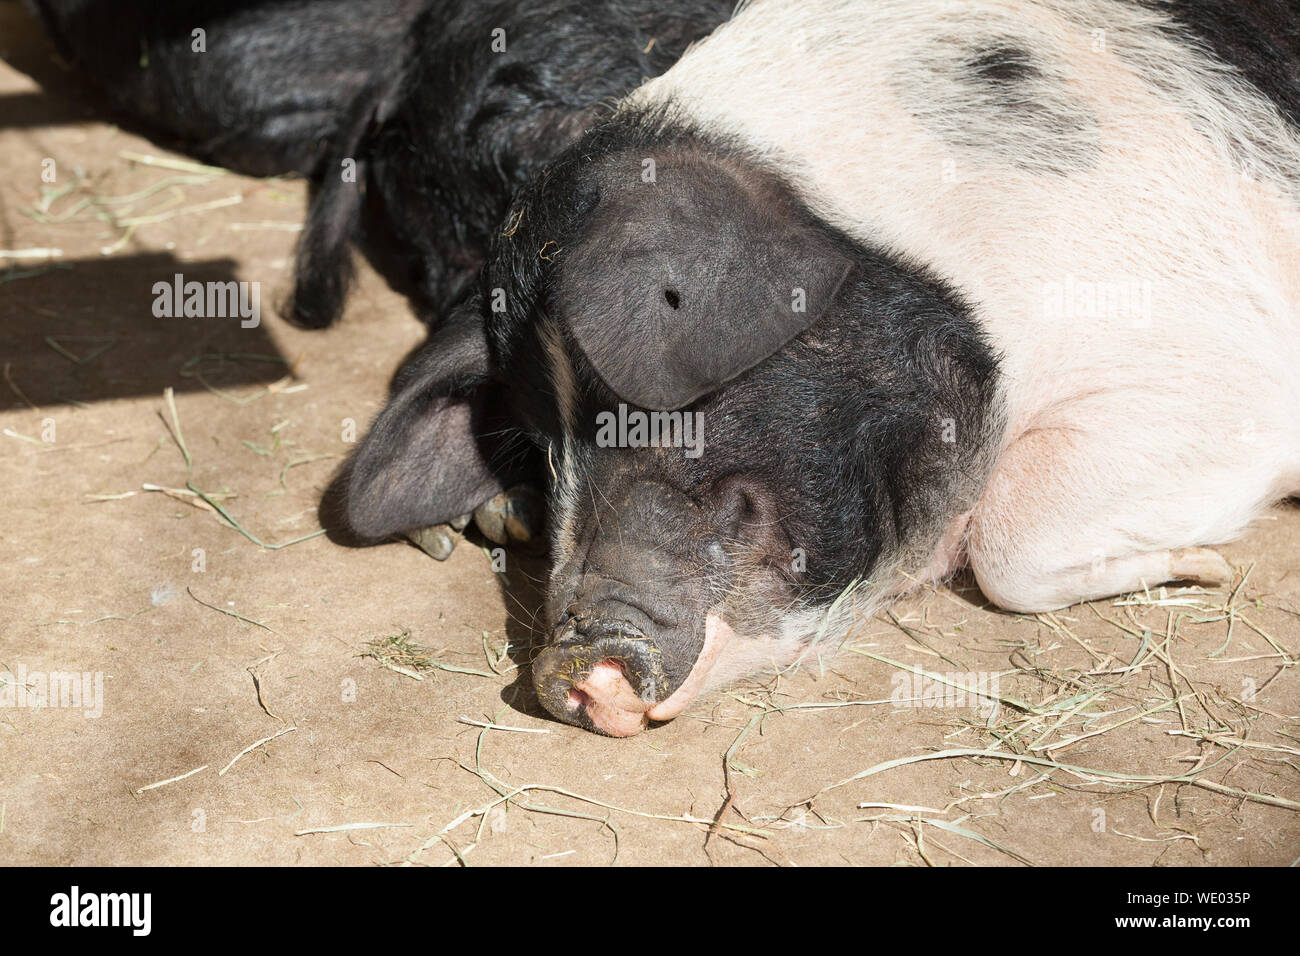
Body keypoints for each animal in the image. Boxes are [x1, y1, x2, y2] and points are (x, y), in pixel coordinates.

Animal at [342, 0, 1300, 736]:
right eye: (539, 445)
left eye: (635, 404)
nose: (565, 669)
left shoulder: (1221, 360)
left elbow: (1009, 544)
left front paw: (1208, 568)